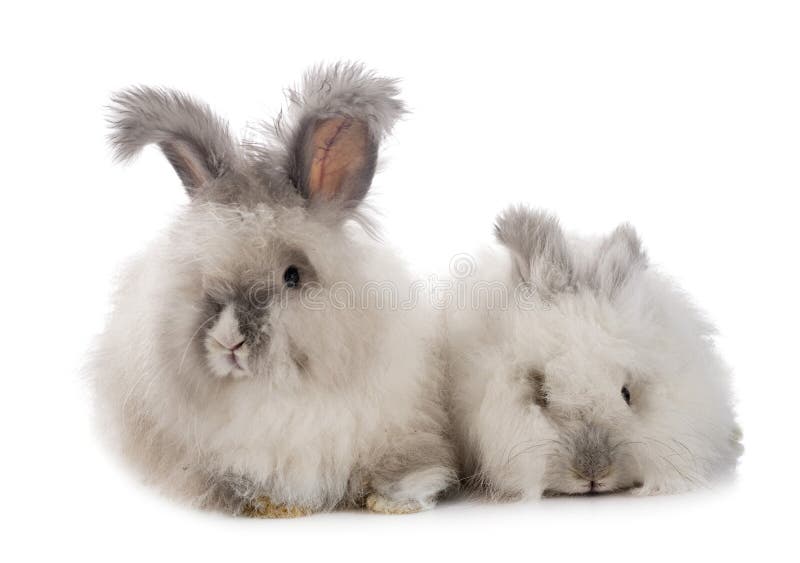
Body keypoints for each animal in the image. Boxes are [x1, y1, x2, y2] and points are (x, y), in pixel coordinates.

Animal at [90, 63, 456, 517]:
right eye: (205, 277)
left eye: (292, 276)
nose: (229, 341)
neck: (277, 395)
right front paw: (270, 504)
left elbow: (407, 467)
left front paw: (392, 502)